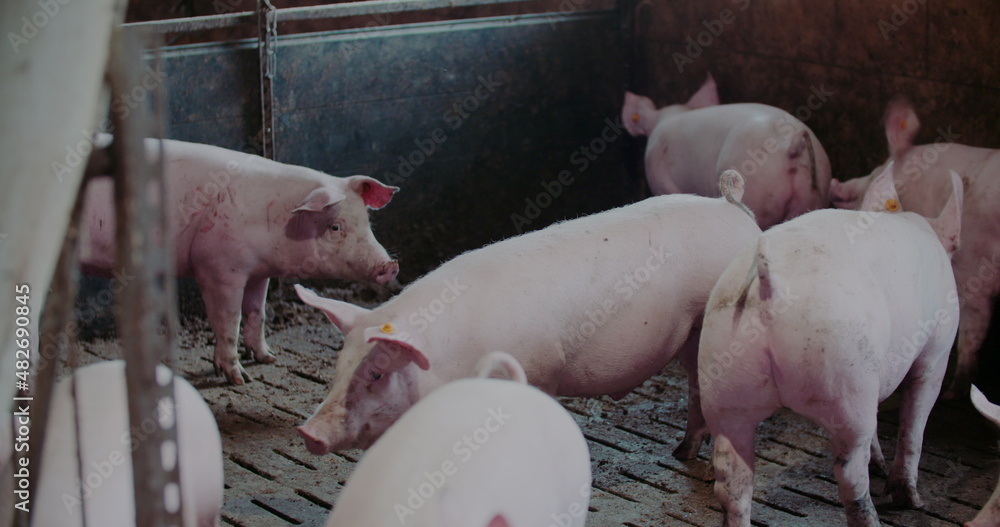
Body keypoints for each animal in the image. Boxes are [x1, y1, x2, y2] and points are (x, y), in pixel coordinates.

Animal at [80, 134, 399, 384]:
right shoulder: (217, 267)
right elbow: (229, 320)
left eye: (367, 222)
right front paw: (239, 378)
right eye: (335, 227)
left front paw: (268, 358)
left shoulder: (259, 271)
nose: (390, 266)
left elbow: (258, 312)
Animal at [295, 170, 762, 458]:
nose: (308, 433)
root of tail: (733, 206)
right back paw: (681, 453)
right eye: (339, 366)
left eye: (376, 373)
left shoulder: (541, 370)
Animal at [699, 163, 963, 527]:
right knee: (850, 471)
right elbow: (915, 421)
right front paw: (912, 500)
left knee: (732, 478)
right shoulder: (938, 347)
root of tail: (769, 285)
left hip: (722, 371)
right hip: (845, 377)